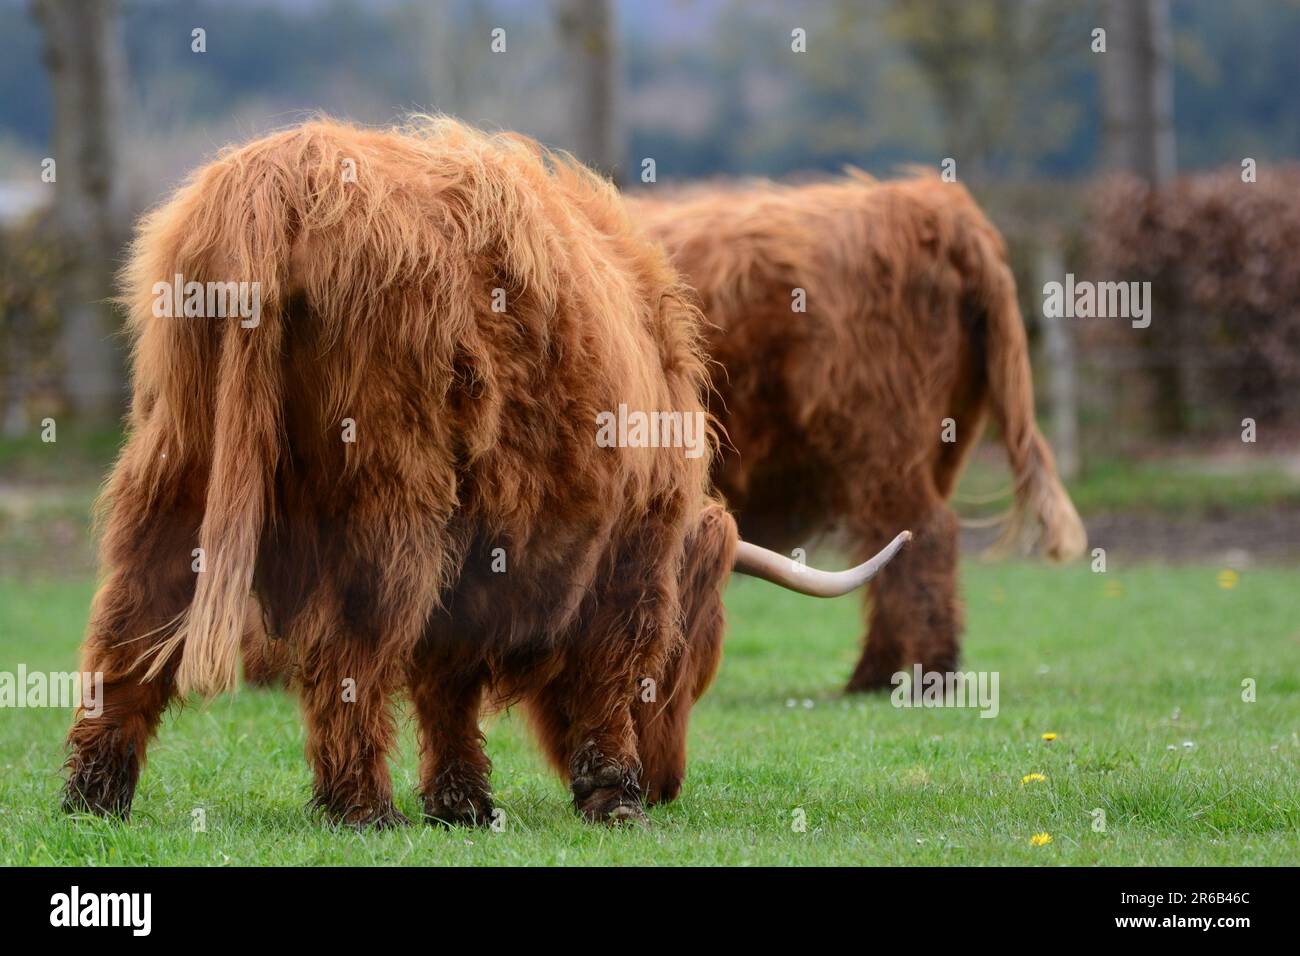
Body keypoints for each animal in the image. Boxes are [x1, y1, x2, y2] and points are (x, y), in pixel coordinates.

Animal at [61, 119, 910, 829]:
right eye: (689, 658)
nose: (669, 784)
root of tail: (281, 173)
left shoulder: (482, 553)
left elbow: (447, 683)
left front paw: (462, 802)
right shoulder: (622, 549)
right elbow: (602, 665)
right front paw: (612, 796)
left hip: (179, 465)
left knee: (130, 623)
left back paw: (95, 795)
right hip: (390, 498)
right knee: (347, 653)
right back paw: (364, 809)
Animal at [628, 174, 1086, 693]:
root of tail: (932, 204)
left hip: (882, 442)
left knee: (922, 534)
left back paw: (922, 674)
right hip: (936, 446)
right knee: (891, 548)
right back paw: (878, 673)